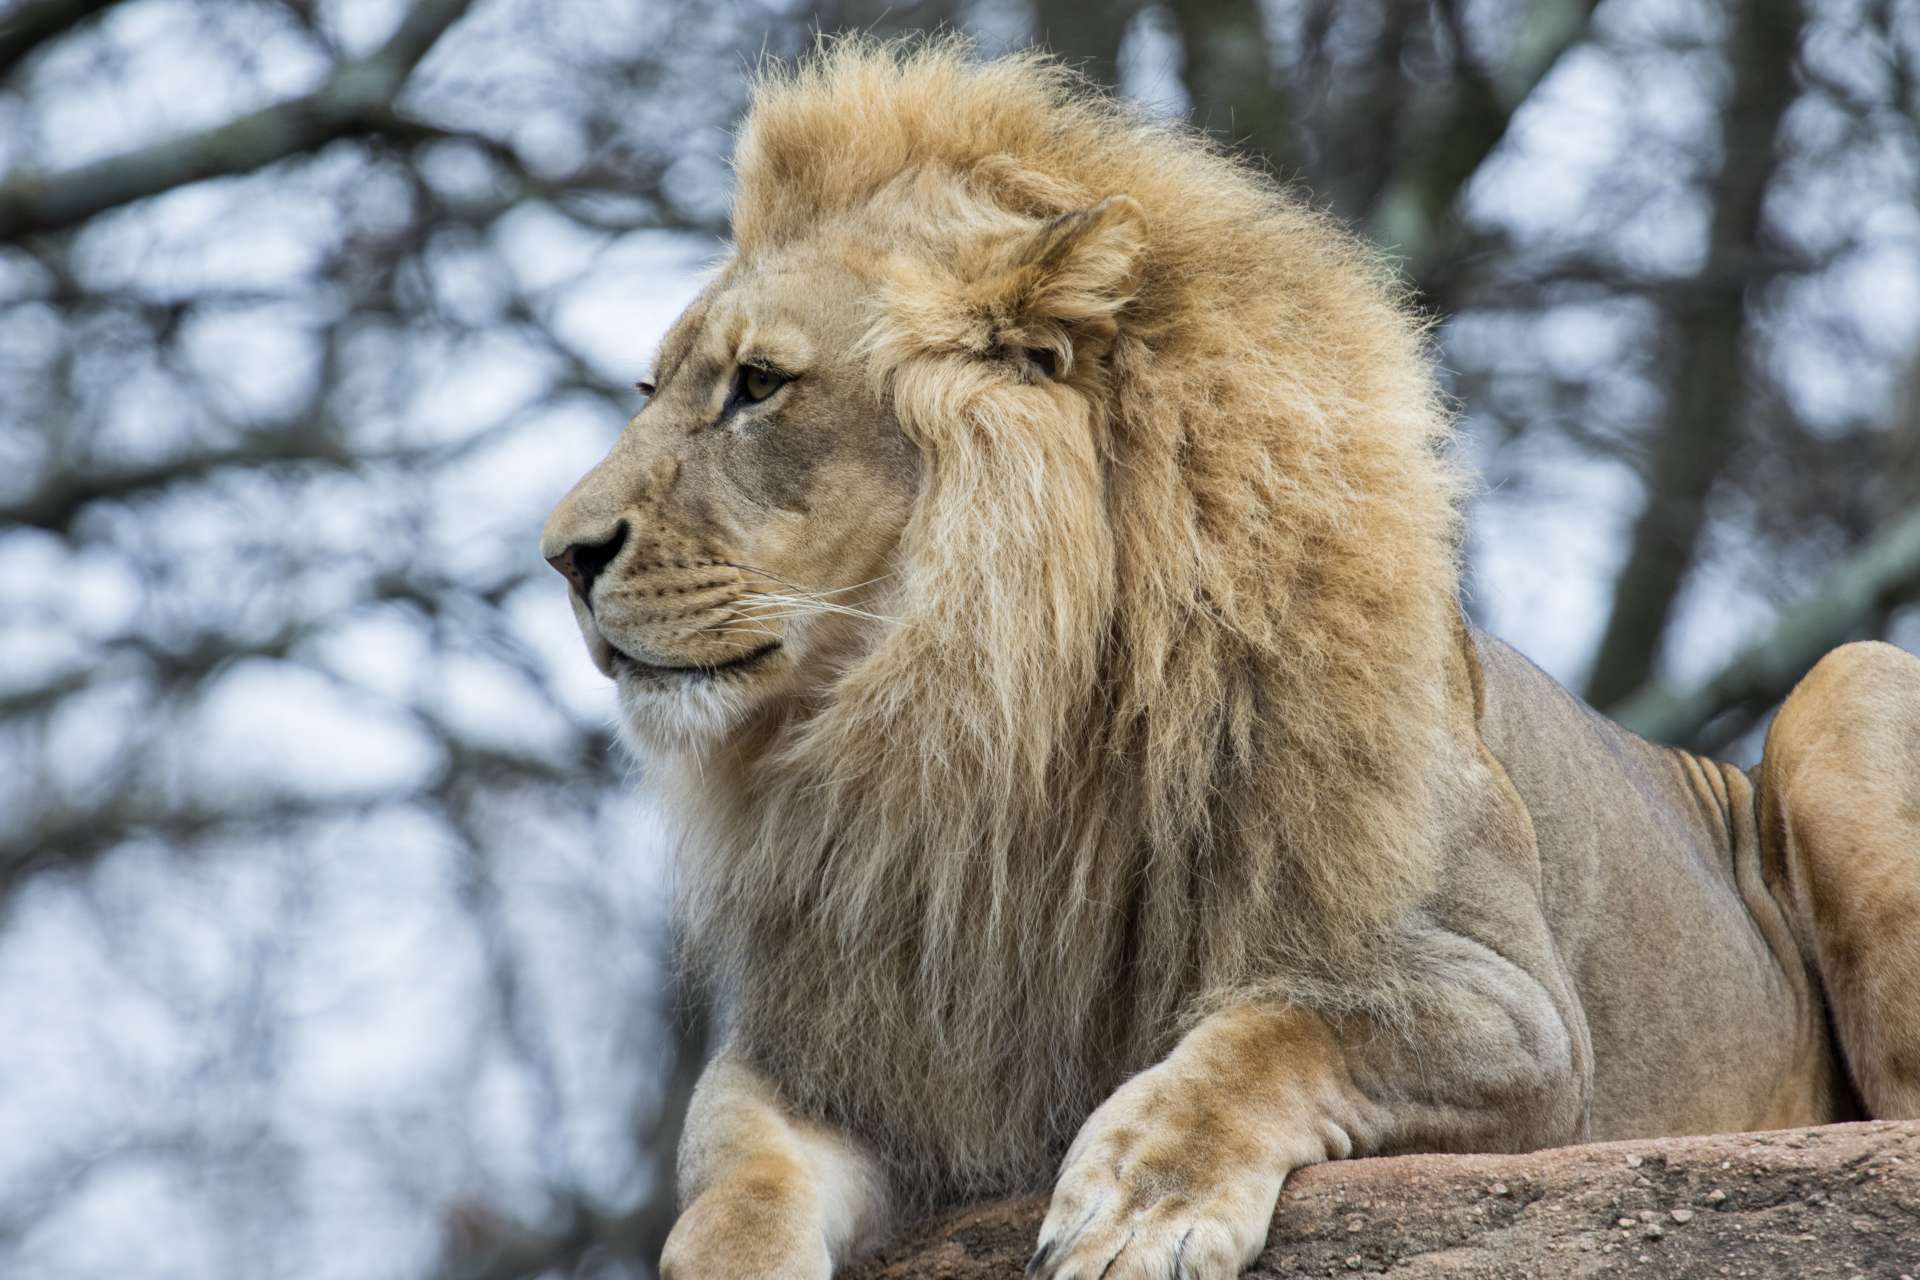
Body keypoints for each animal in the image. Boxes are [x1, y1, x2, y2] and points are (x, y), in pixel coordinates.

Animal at [540, 38, 1920, 1280]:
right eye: (656, 387)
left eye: (759, 384)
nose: (561, 554)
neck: (983, 726)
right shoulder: (831, 1046)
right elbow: (730, 1184)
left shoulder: (1515, 1009)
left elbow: (1283, 1023)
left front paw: (1141, 1197)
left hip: (1850, 677)